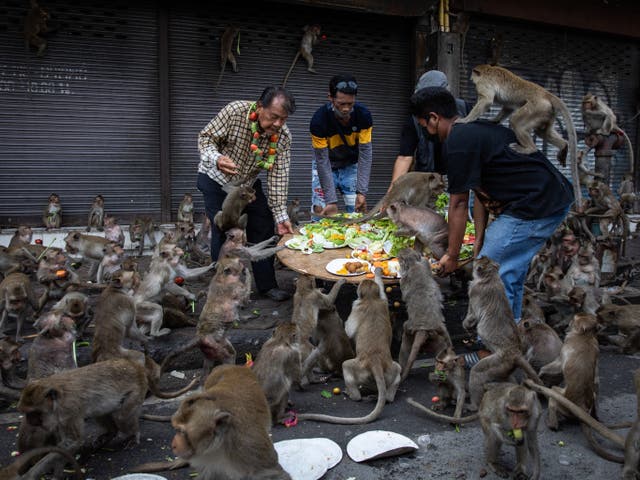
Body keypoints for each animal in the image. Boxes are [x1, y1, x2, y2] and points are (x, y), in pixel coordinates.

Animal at [133, 364, 291, 479]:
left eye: (181, 432)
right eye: (176, 429)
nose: (174, 444)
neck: (218, 445)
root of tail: (233, 366)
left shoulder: (249, 445)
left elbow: (274, 473)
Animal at [297, 268, 402, 424]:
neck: (371, 299)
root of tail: (375, 362)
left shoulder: (356, 306)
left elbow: (349, 331)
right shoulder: (382, 301)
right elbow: (382, 289)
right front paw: (378, 272)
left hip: (359, 369)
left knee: (346, 365)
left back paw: (353, 395)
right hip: (389, 370)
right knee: (398, 369)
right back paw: (387, 397)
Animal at [396, 248, 452, 381]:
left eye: (400, 255)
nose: (398, 253)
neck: (413, 264)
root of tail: (423, 328)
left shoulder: (407, 276)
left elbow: (403, 288)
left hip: (409, 329)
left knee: (405, 341)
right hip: (438, 330)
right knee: (444, 341)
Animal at [457, 64, 581, 208]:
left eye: (473, 76)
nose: (471, 79)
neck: (488, 69)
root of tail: (545, 93)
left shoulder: (483, 83)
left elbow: (486, 101)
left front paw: (465, 120)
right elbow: (507, 107)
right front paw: (494, 121)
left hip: (536, 107)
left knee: (516, 121)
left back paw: (529, 149)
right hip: (547, 111)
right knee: (542, 132)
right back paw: (564, 146)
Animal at [462, 256, 542, 411]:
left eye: (479, 259)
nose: (475, 257)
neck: (491, 277)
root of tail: (515, 352)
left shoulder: (474, 291)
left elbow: (473, 315)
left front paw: (466, 325)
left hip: (500, 361)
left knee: (477, 372)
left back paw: (473, 406)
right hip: (504, 367)